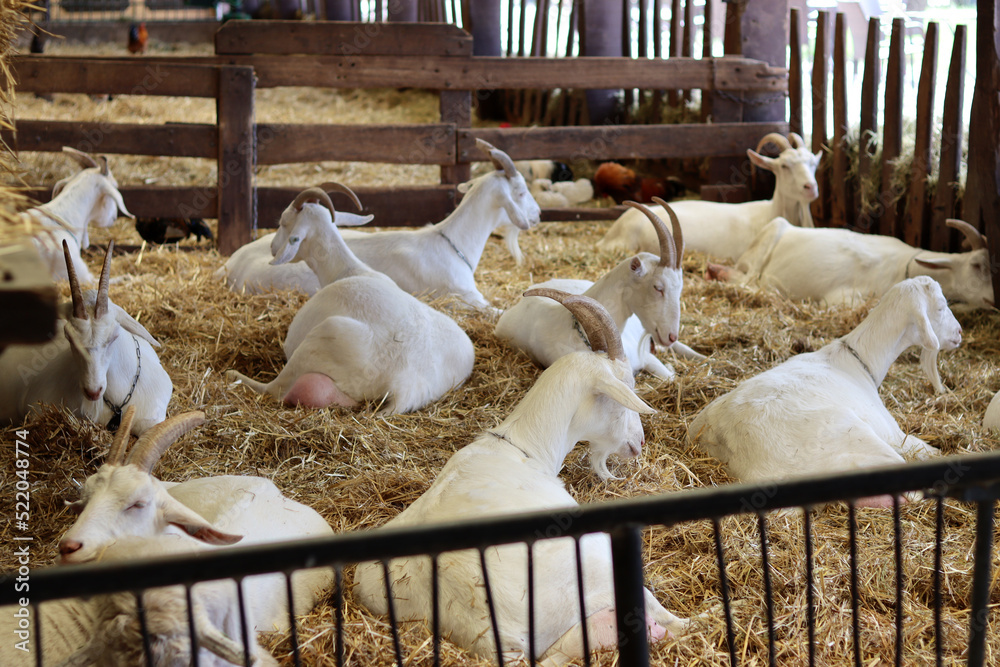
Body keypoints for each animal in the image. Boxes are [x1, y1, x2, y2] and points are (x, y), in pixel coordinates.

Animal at [226, 186, 475, 414]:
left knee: (275, 388)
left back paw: (234, 374)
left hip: (324, 336)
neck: (347, 270)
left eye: (283, 221)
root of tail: (406, 387)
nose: (272, 247)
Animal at [687, 277, 962, 506]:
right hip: (860, 439)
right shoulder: (894, 434)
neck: (859, 360)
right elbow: (927, 450)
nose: (959, 333)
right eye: (940, 307)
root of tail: (729, 442)